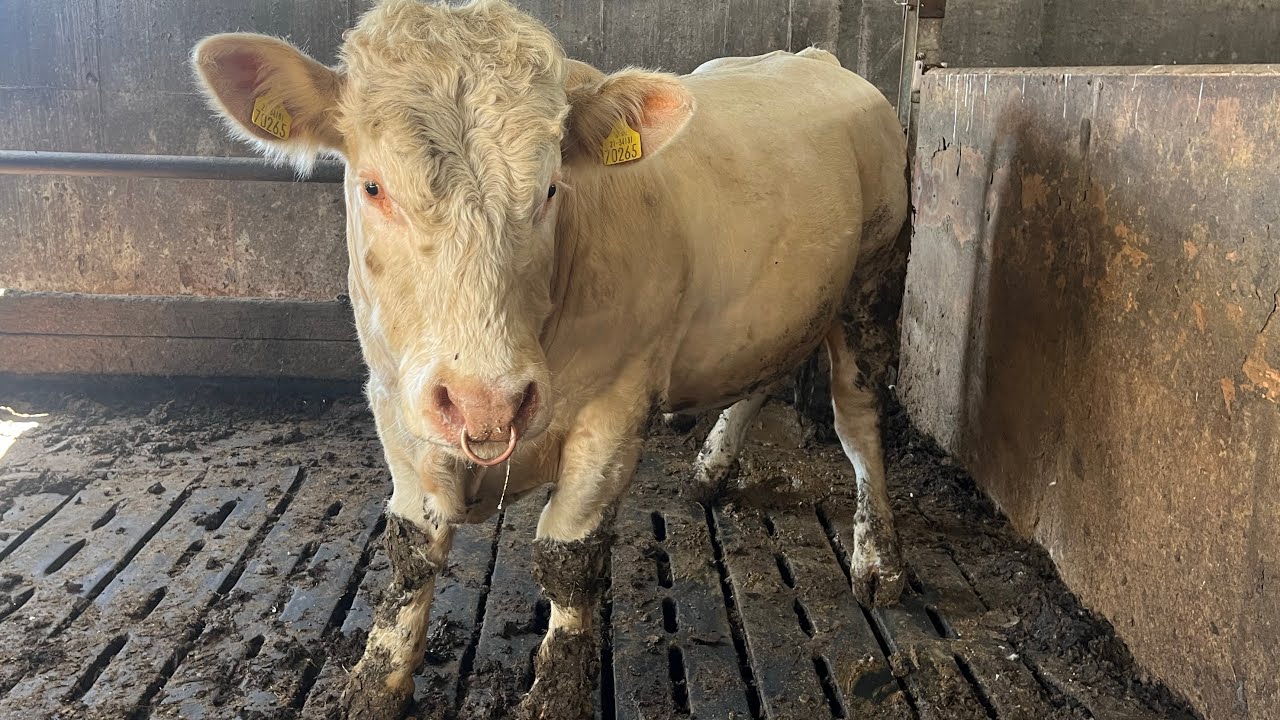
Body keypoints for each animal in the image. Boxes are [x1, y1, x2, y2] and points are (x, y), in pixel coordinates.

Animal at [192, 0, 908, 716]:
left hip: (876, 274)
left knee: (859, 416)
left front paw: (557, 689)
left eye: (550, 191)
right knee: (762, 375)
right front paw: (376, 681)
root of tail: (816, 57)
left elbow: (569, 557)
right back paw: (711, 468)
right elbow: (411, 549)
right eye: (373, 187)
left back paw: (879, 559)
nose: (485, 401)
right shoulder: (394, 395)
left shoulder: (617, 404)